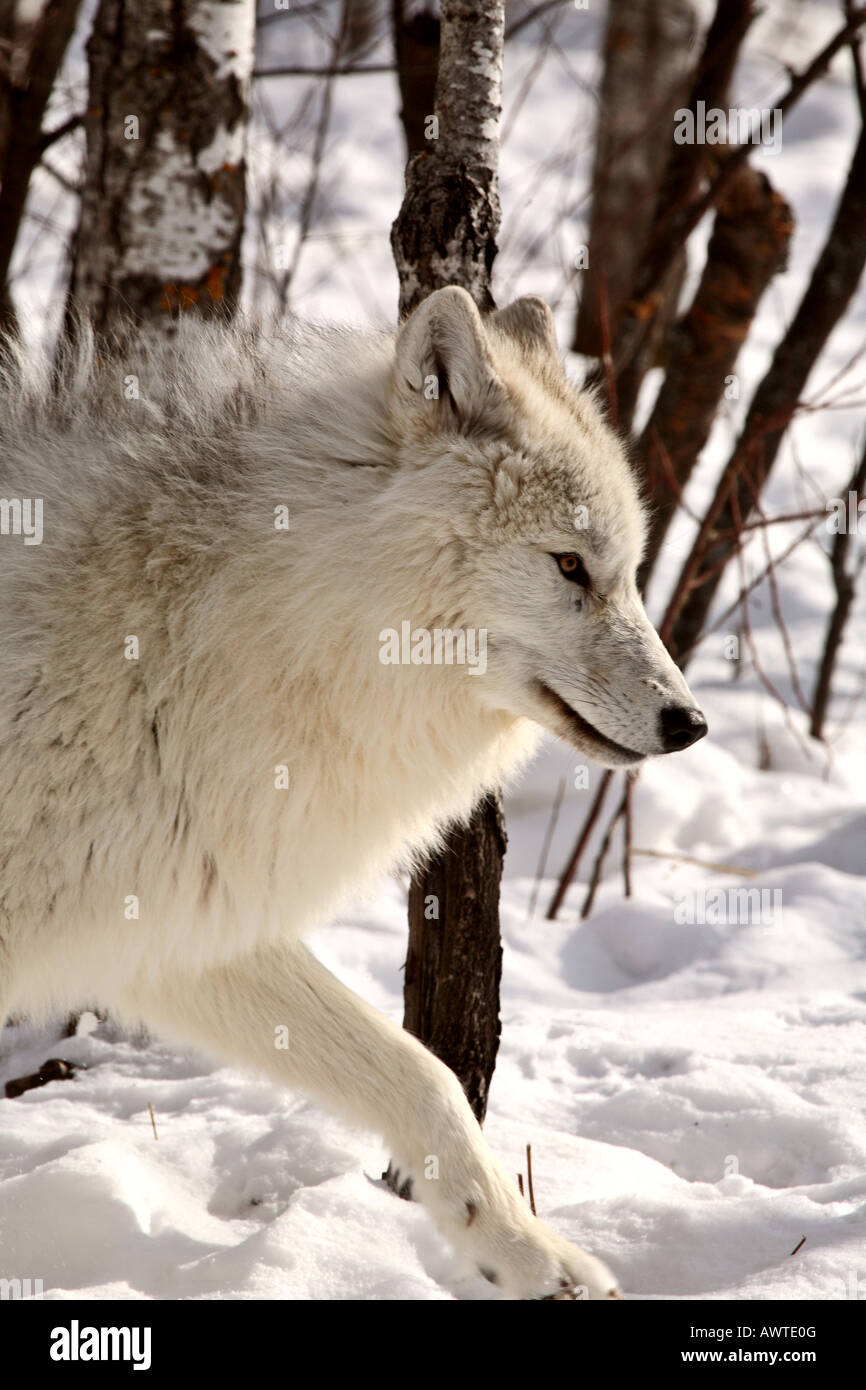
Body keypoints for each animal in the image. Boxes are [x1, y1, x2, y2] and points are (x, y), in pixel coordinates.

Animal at [0, 288, 706, 1300]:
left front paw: (527, 1256)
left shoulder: (175, 923)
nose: (689, 722)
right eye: (571, 565)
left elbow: (426, 1079)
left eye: (631, 570)